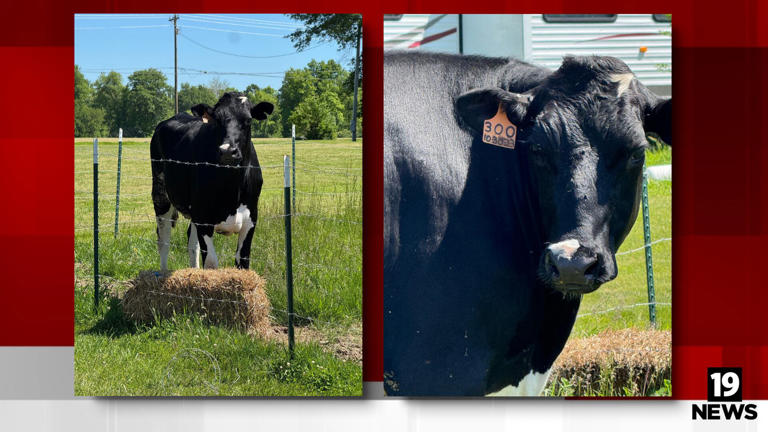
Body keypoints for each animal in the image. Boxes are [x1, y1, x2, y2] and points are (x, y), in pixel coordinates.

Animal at [150, 92, 274, 271]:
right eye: (217, 119)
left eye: (248, 120)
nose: (227, 151)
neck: (233, 189)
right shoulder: (204, 218)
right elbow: (210, 263)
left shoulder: (251, 218)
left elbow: (243, 261)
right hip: (161, 196)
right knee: (164, 240)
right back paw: (163, 272)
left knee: (191, 243)